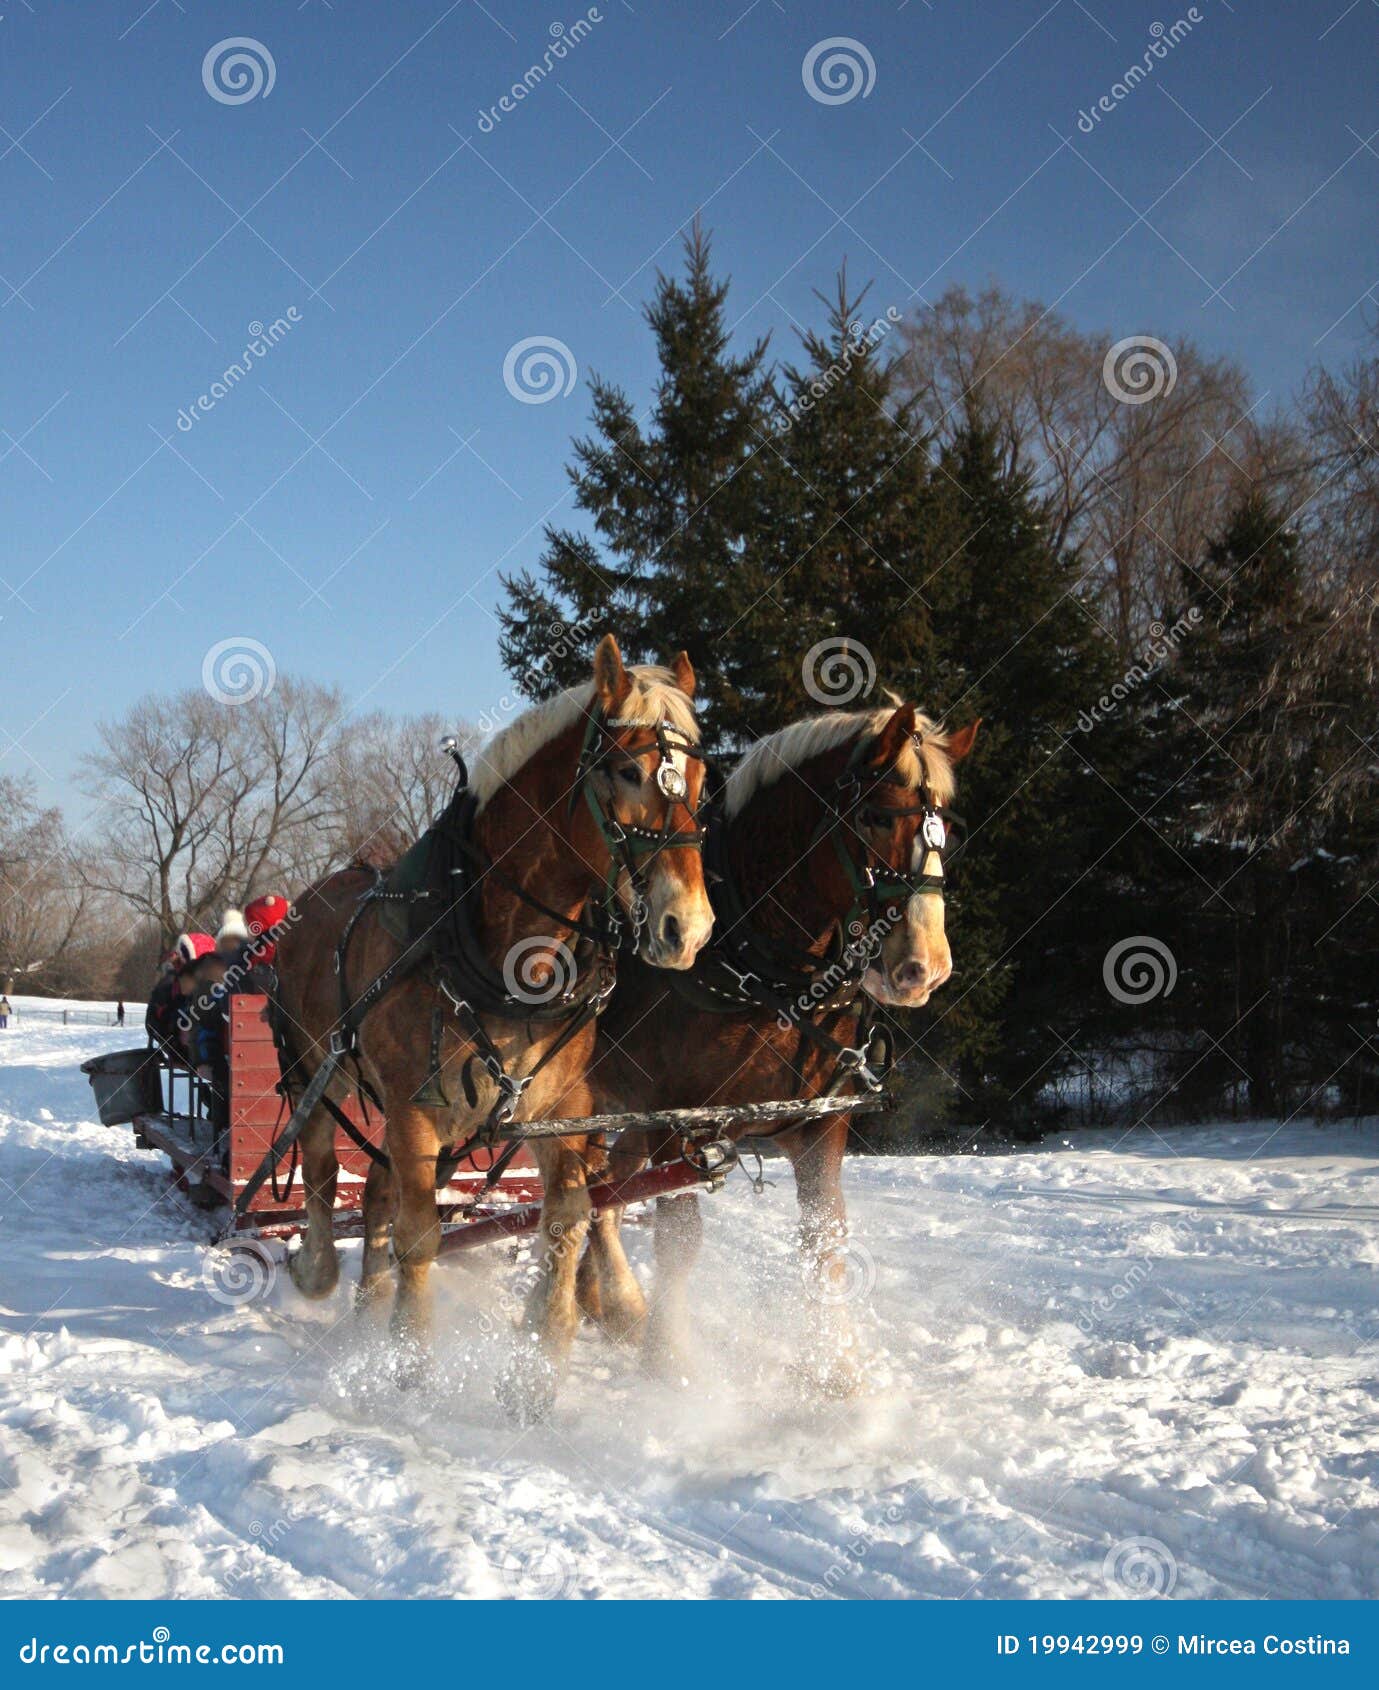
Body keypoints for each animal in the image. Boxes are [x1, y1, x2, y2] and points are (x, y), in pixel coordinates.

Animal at [273, 635, 713, 1410]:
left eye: (701, 778)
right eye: (628, 770)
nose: (686, 929)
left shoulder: (560, 1108)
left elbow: (567, 1220)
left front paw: (538, 1367)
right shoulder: (414, 1107)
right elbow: (419, 1236)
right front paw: (408, 1365)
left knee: (376, 1190)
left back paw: (367, 1304)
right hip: (318, 1078)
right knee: (325, 1175)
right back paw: (320, 1272)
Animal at [576, 701, 978, 1395]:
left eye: (944, 829)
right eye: (875, 814)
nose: (924, 967)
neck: (755, 969)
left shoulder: (820, 1125)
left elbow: (824, 1238)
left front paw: (833, 1377)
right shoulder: (678, 1121)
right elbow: (679, 1237)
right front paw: (669, 1364)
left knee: (603, 1192)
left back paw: (601, 1300)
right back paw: (617, 1303)